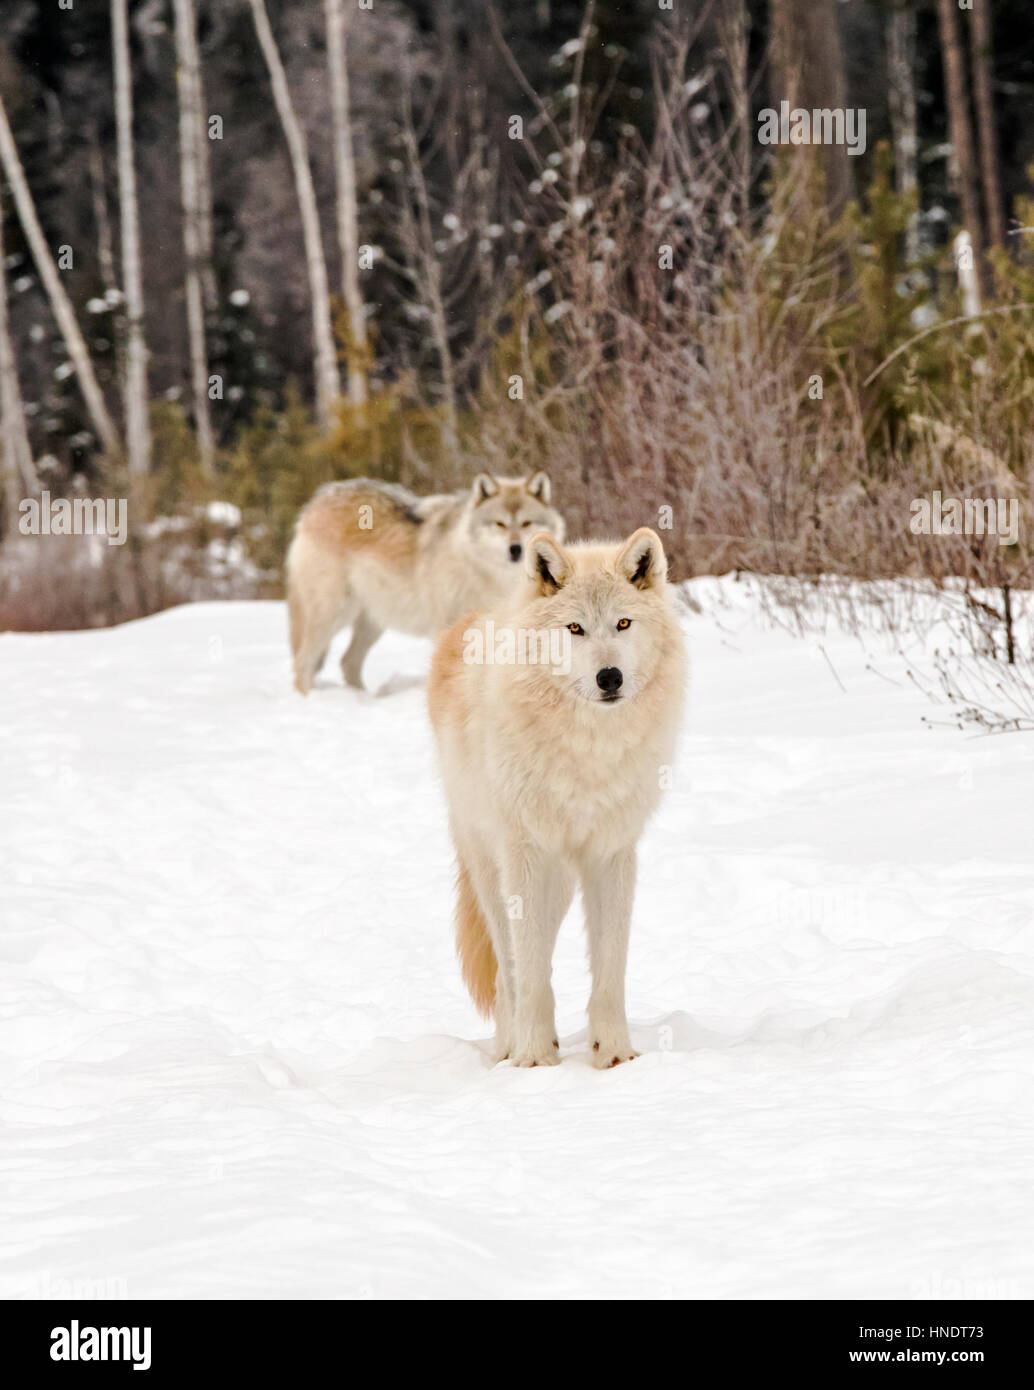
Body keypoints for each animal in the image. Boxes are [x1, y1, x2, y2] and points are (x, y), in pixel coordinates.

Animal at [287, 472, 563, 694]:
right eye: (500, 524)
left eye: (526, 523)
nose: (515, 549)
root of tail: (315, 502)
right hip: (333, 614)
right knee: (303, 662)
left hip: (372, 623)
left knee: (347, 663)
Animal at [428, 527, 686, 1068]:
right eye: (575, 628)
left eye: (623, 623)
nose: (609, 677)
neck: (587, 750)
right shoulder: (525, 853)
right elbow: (526, 972)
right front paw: (534, 1059)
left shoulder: (611, 853)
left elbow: (609, 970)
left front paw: (614, 1054)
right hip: (493, 868)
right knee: (510, 969)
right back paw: (510, 1046)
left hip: (561, 881)